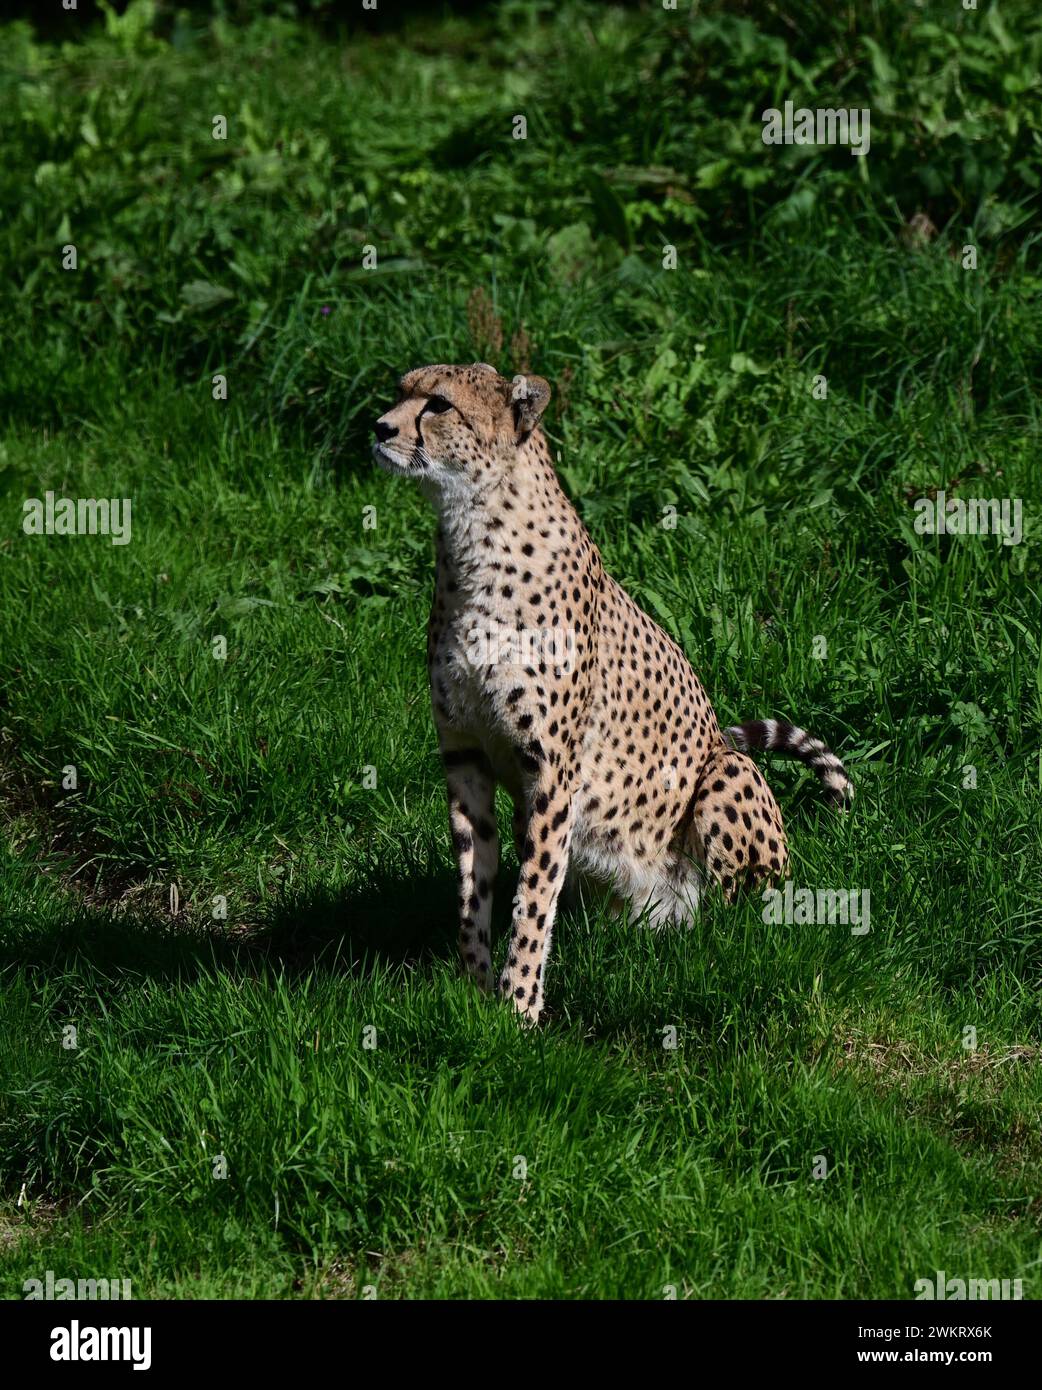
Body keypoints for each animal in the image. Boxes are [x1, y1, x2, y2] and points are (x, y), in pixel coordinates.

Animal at [372, 362, 853, 1023]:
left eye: (438, 404)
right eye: (400, 391)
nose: (379, 426)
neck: (472, 529)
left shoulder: (553, 770)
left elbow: (533, 895)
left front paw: (518, 1006)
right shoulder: (465, 754)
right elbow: (476, 882)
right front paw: (474, 988)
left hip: (726, 775)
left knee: (743, 918)